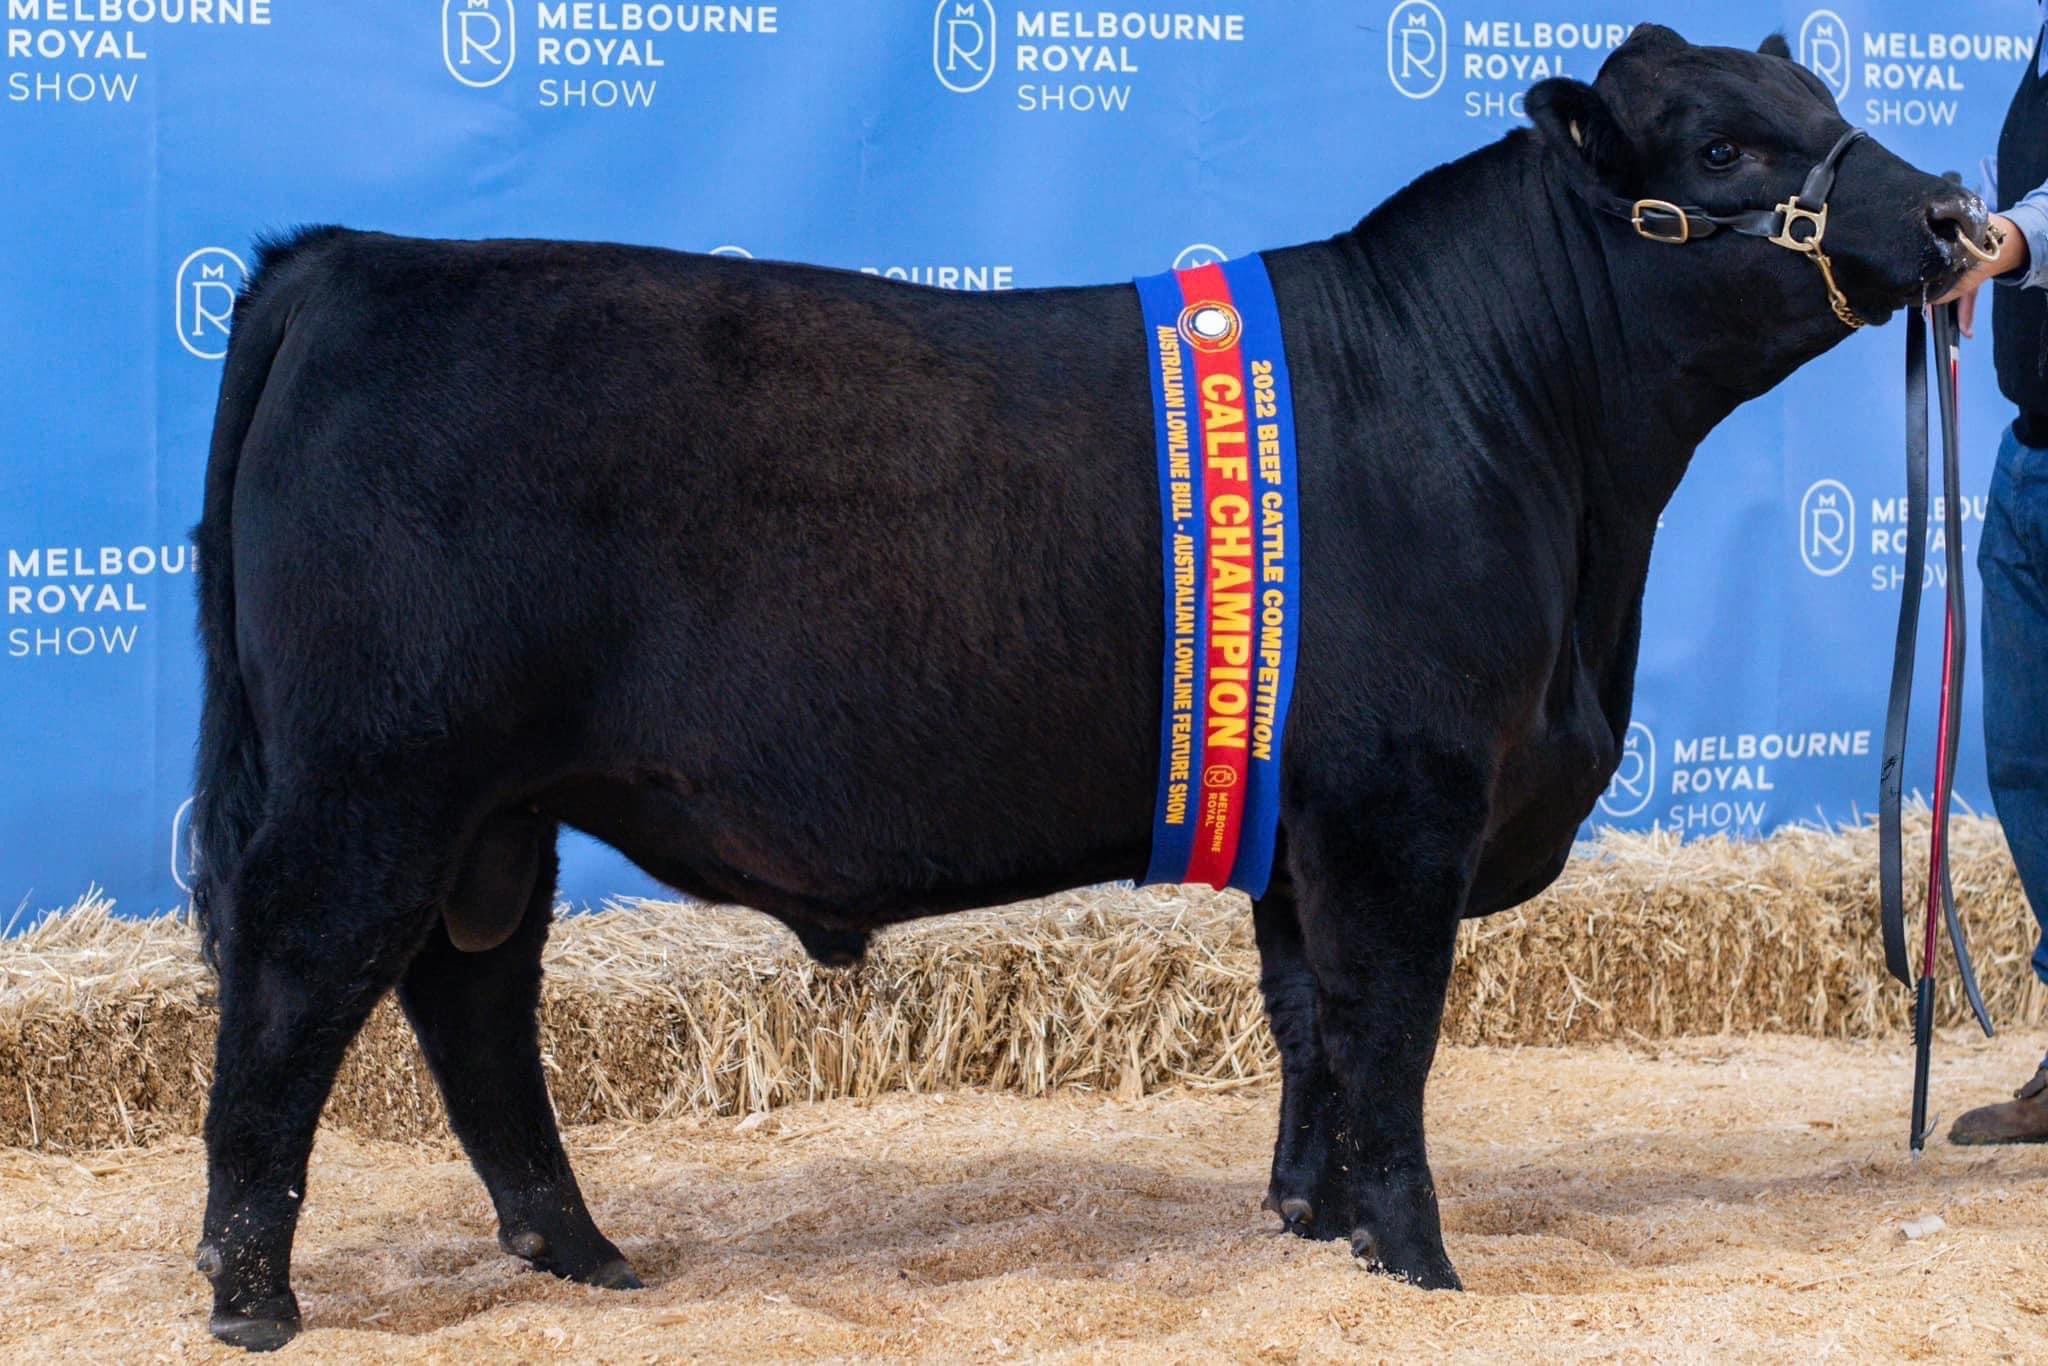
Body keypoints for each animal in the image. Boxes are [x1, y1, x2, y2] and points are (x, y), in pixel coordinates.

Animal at [187, 25, 1988, 1349]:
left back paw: (581, 1255)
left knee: (469, 1000)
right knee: (295, 984)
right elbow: (1389, 1034)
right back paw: (254, 1296)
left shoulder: (1304, 816)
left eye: (1825, 109)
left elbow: (1310, 1028)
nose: (1955, 216)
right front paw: (1421, 1268)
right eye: (1723, 150)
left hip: (494, 805)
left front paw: (1311, 1228)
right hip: (378, 778)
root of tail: (350, 261)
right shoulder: (1401, 801)